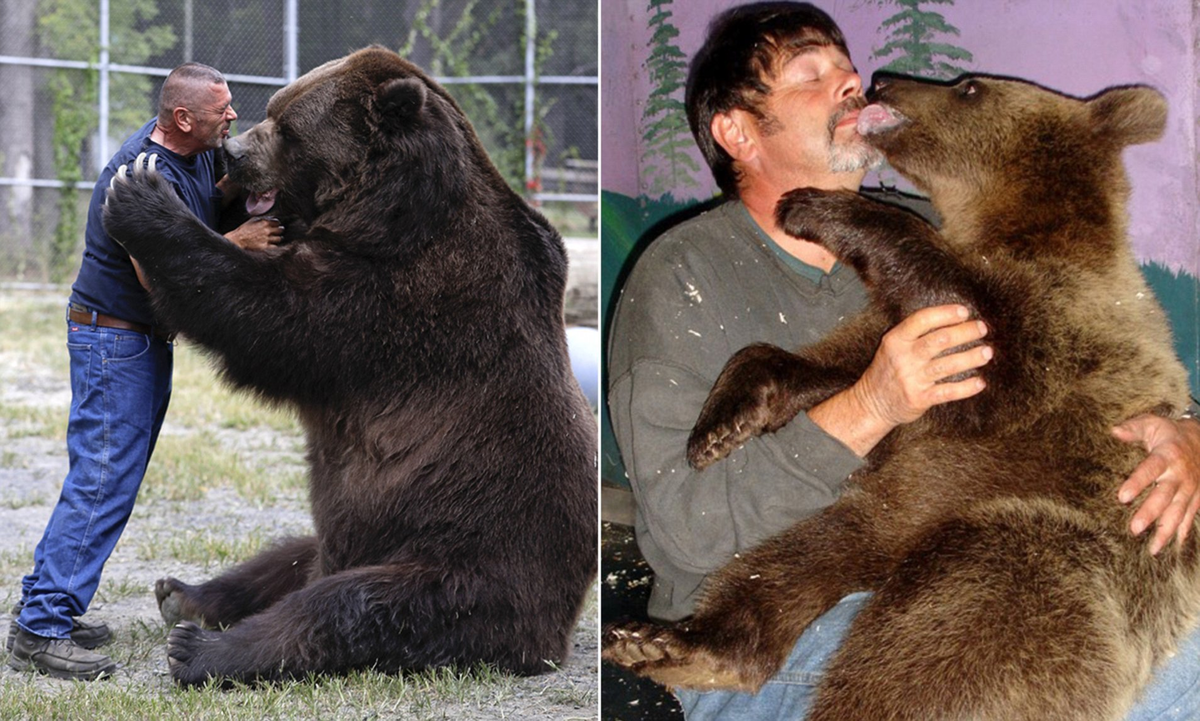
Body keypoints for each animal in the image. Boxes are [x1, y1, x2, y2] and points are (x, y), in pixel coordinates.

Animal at [100, 46, 597, 686]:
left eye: (288, 128)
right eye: (274, 107)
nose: (234, 153)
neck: (390, 211)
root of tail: (561, 625)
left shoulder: (402, 296)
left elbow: (276, 316)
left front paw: (143, 197)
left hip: (466, 557)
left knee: (352, 605)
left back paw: (202, 648)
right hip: (357, 543)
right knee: (289, 555)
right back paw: (185, 594)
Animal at [604, 74, 1195, 719]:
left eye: (968, 87)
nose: (883, 78)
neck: (1009, 222)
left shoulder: (1058, 319)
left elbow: (990, 336)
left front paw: (815, 206)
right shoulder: (896, 349)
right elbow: (825, 369)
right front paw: (720, 426)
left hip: (1057, 544)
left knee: (955, 627)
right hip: (889, 511)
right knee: (792, 559)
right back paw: (673, 644)